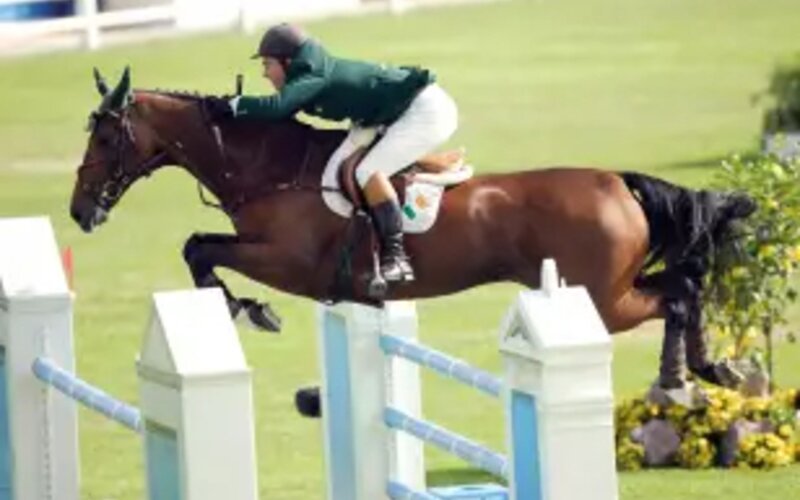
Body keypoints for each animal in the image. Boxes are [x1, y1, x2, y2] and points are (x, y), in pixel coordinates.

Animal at [70, 68, 756, 398]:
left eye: (103, 138)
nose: (79, 211)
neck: (269, 167)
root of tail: (618, 183)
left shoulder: (290, 262)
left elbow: (200, 249)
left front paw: (252, 310)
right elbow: (198, 247)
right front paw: (245, 308)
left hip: (601, 299)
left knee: (676, 296)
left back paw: (683, 374)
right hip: (608, 287)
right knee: (683, 286)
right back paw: (708, 369)